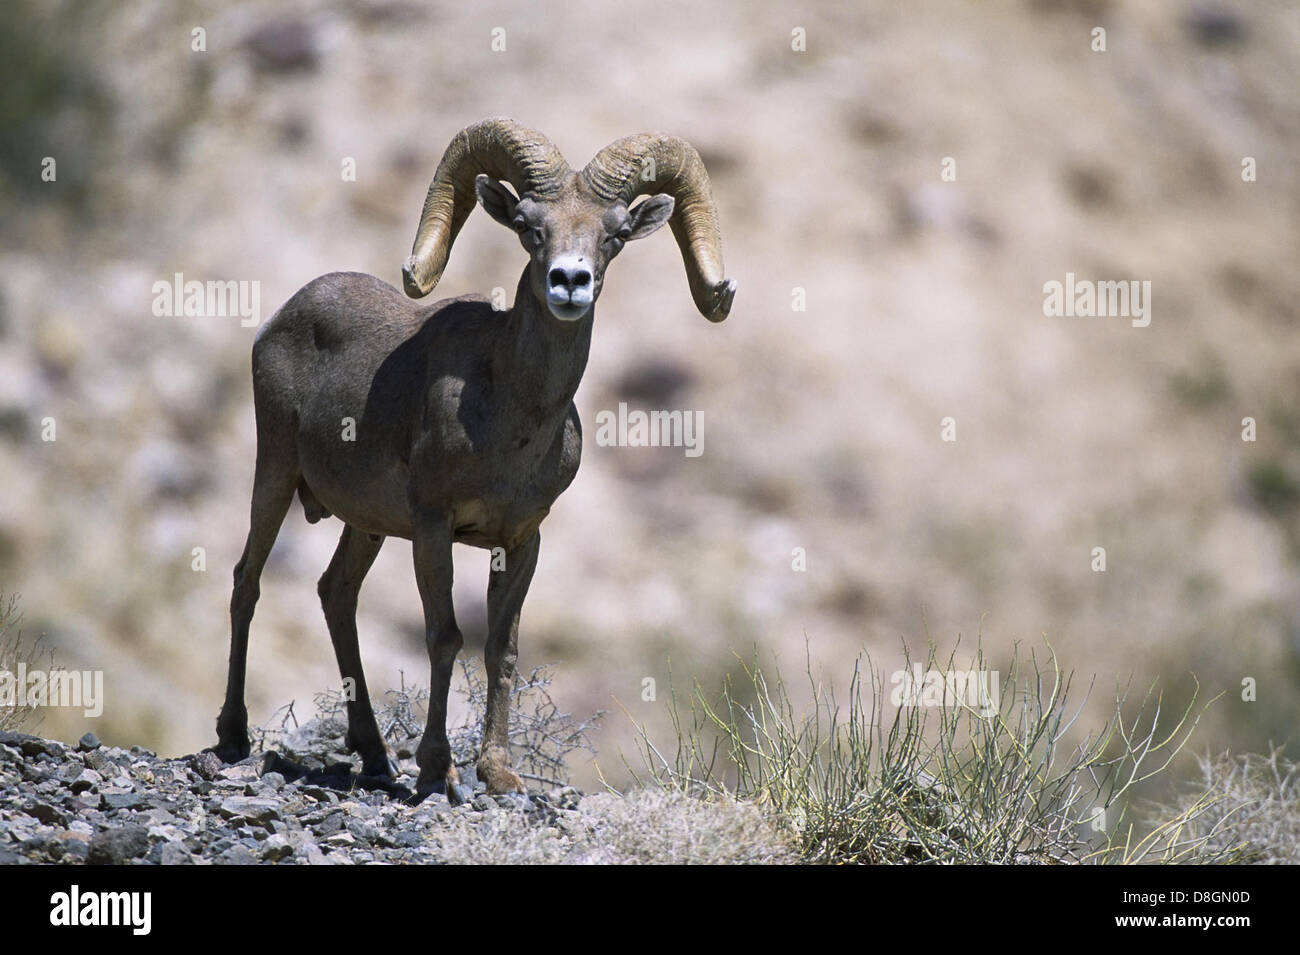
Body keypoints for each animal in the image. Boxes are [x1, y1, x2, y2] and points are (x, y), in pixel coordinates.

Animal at [212, 118, 736, 804]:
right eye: (530, 226)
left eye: (615, 234)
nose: (569, 281)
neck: (510, 426)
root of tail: (278, 320)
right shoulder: (433, 528)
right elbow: (445, 637)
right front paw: (439, 769)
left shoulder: (521, 540)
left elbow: (500, 650)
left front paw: (497, 771)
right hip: (274, 472)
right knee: (247, 582)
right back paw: (233, 736)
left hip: (365, 525)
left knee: (335, 594)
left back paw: (375, 757)